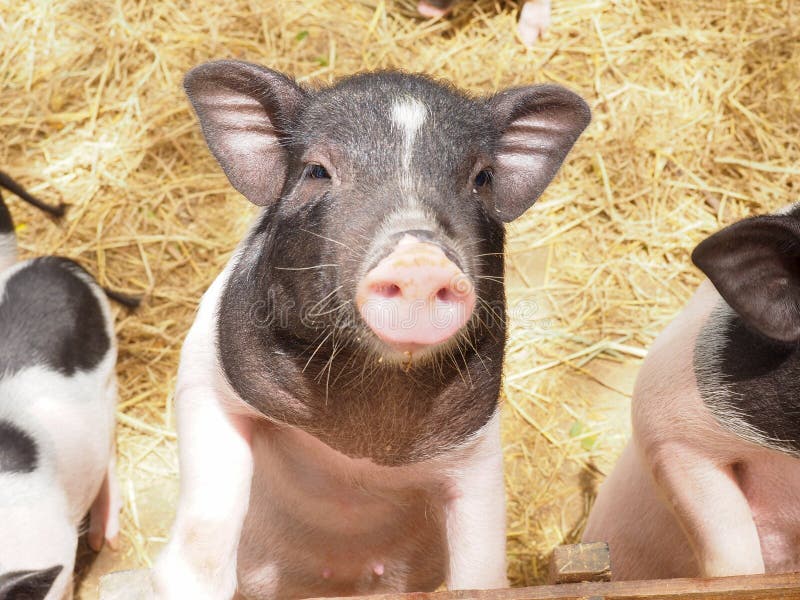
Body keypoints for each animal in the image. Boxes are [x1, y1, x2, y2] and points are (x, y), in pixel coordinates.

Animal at [150, 60, 590, 599]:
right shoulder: (205, 371)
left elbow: (482, 569)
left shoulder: (475, 450)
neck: (357, 454)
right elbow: (206, 530)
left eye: (482, 179)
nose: (420, 258)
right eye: (316, 171)